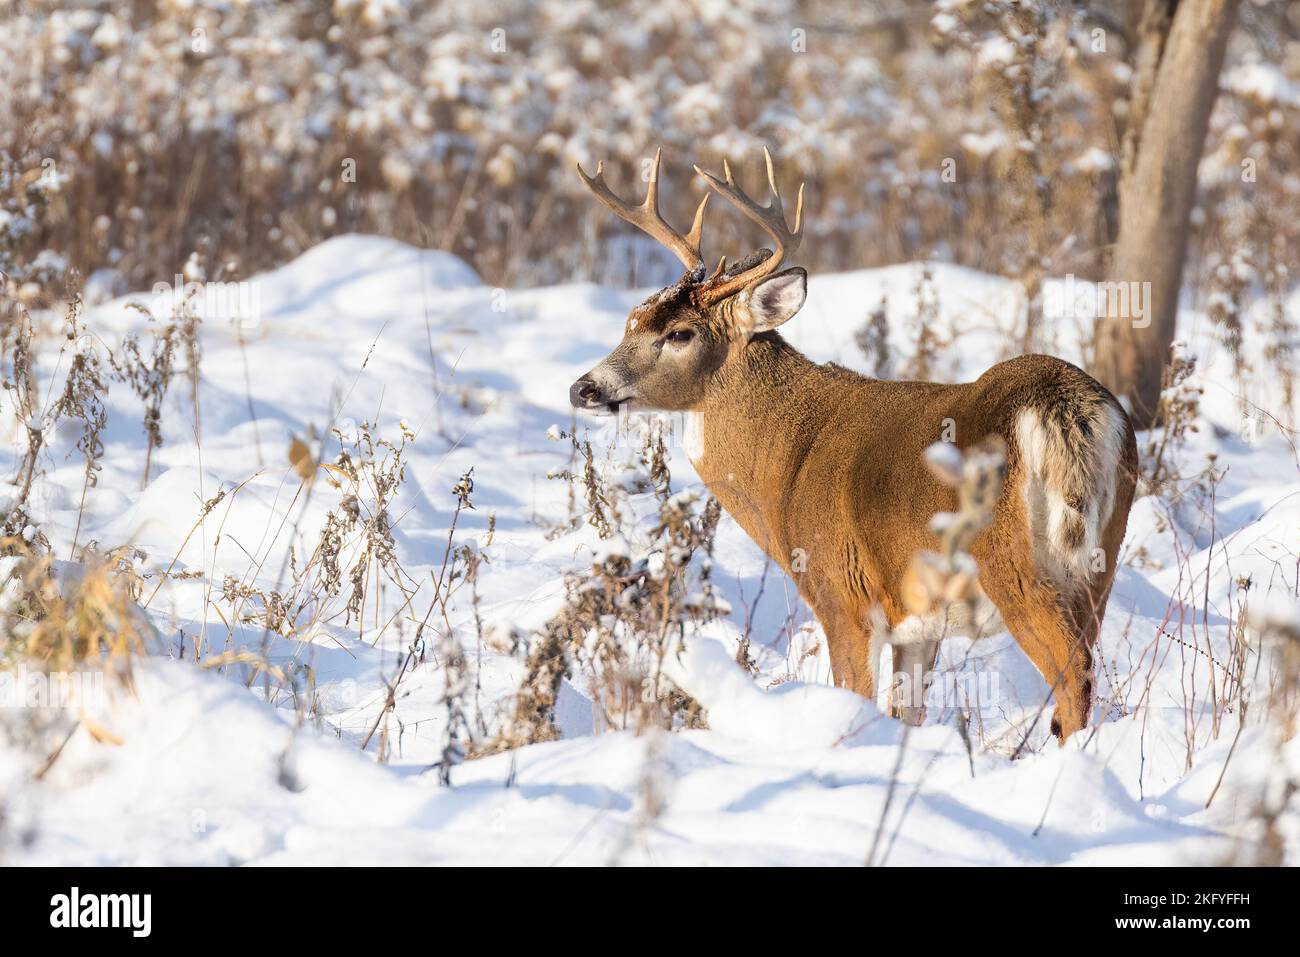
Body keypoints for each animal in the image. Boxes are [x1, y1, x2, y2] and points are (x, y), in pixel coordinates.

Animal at [568, 148, 1138, 742]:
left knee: (1073, 673)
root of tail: (1068, 410)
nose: (582, 388)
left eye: (679, 333)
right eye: (630, 319)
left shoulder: (841, 592)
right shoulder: (917, 623)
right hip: (1101, 561)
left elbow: (858, 697)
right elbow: (905, 713)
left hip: (1014, 568)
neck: (787, 463)